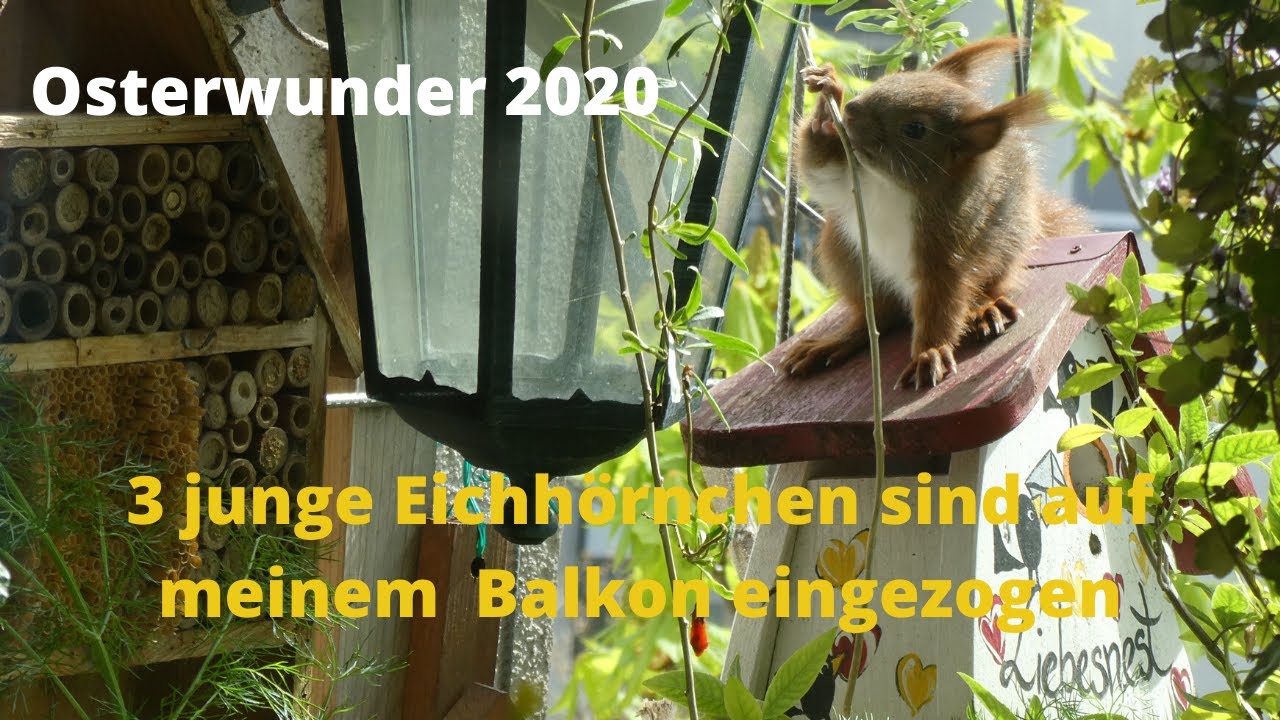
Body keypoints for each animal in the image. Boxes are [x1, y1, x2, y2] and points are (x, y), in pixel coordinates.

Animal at [779, 37, 1092, 389]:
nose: (852, 109)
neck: (895, 188)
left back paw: (985, 310)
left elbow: (941, 301)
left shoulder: (946, 249)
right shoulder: (852, 180)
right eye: (896, 75)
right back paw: (830, 344)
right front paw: (827, 94)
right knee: (878, 317)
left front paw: (929, 354)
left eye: (916, 129)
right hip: (849, 258)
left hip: (1004, 253)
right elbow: (816, 167)